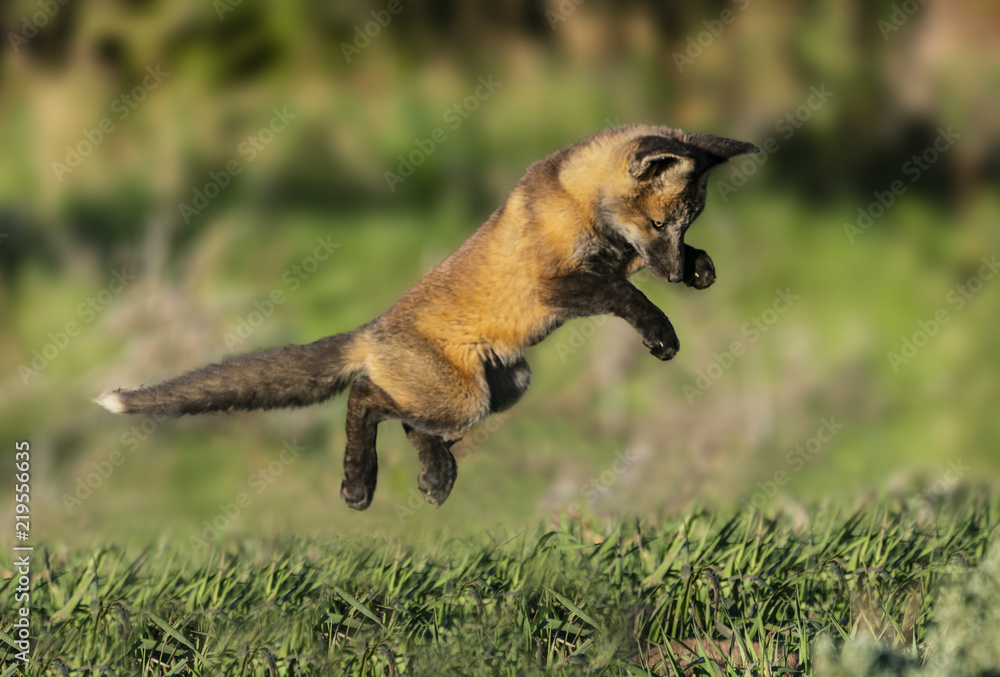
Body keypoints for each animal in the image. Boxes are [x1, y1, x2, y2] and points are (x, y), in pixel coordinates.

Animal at [96, 124, 759, 511]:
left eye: (684, 226)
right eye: (657, 223)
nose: (672, 273)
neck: (577, 204)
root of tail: (370, 332)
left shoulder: (611, 265)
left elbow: (640, 278)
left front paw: (701, 271)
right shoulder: (559, 284)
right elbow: (626, 298)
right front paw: (661, 331)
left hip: (503, 389)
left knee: (410, 423)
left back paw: (434, 477)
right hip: (463, 399)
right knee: (365, 396)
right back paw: (359, 483)